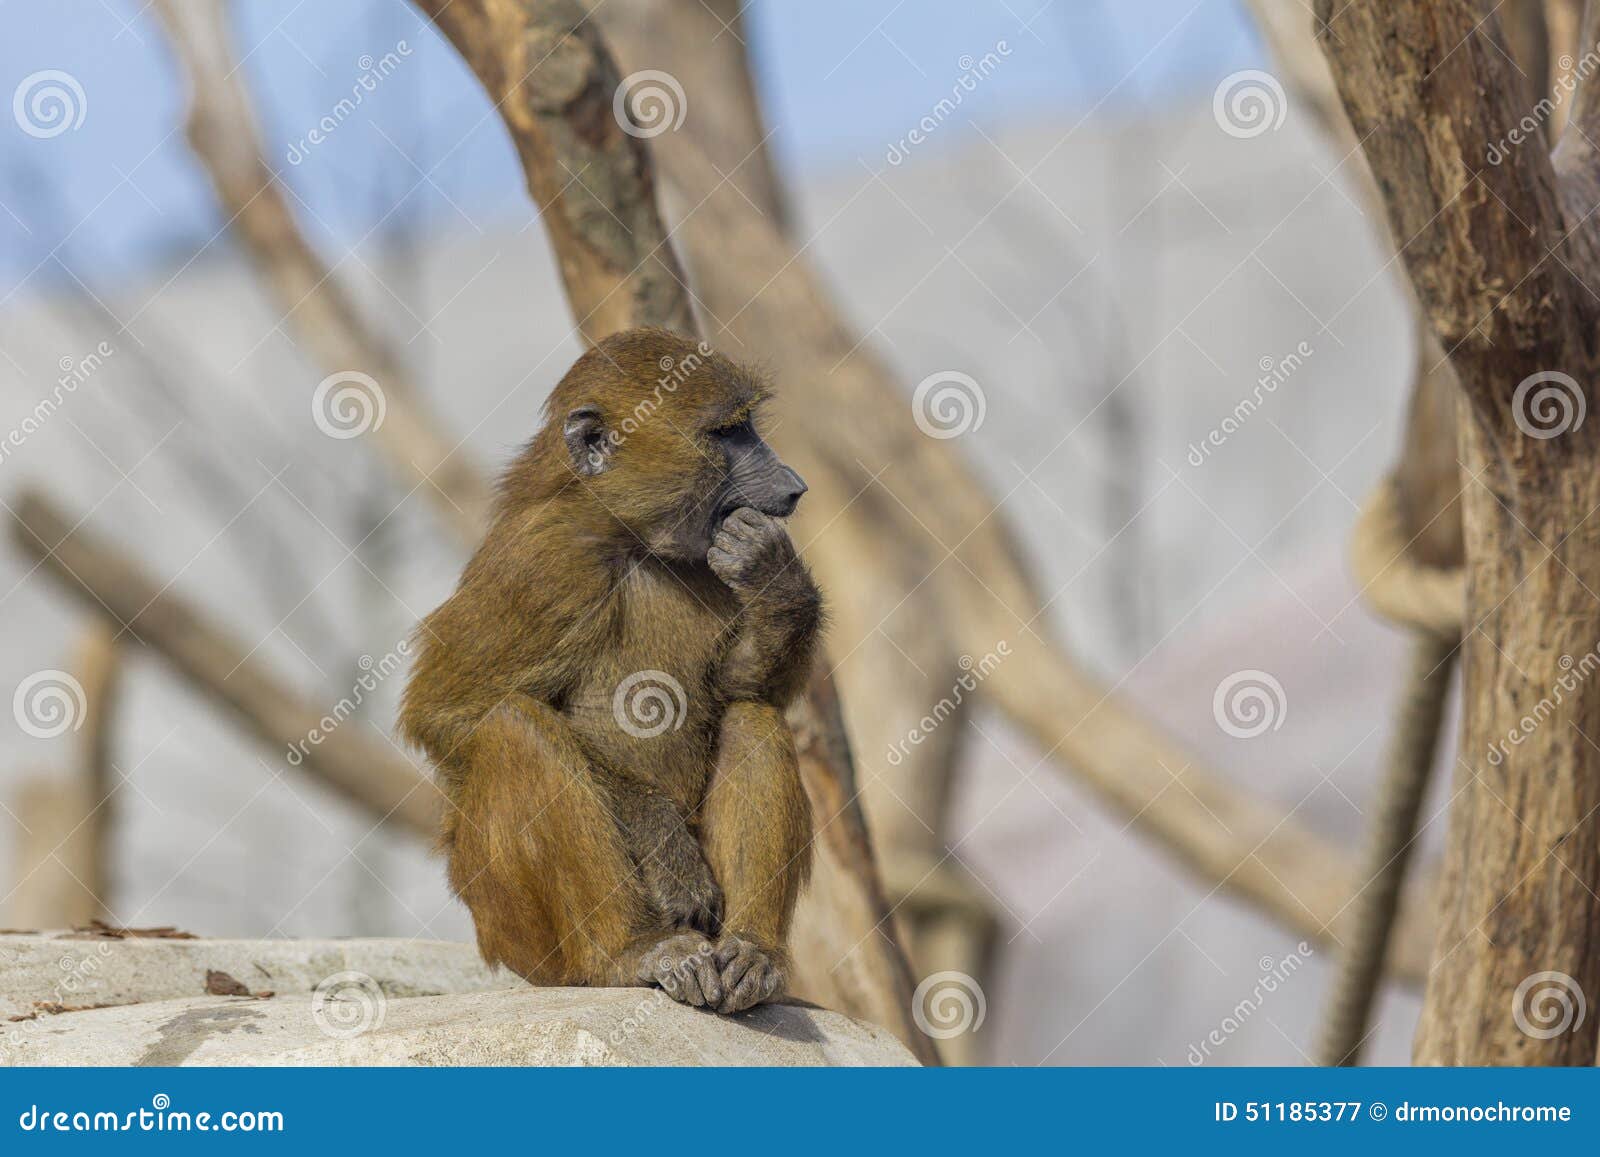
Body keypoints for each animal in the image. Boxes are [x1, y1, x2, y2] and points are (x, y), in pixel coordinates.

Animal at [399, 328, 820, 1015]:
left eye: (747, 426)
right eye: (727, 433)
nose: (794, 485)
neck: (631, 537)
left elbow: (743, 685)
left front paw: (776, 578)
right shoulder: (542, 564)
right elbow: (447, 712)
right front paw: (664, 846)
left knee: (752, 718)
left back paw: (751, 957)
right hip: (516, 933)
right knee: (514, 728)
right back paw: (629, 953)